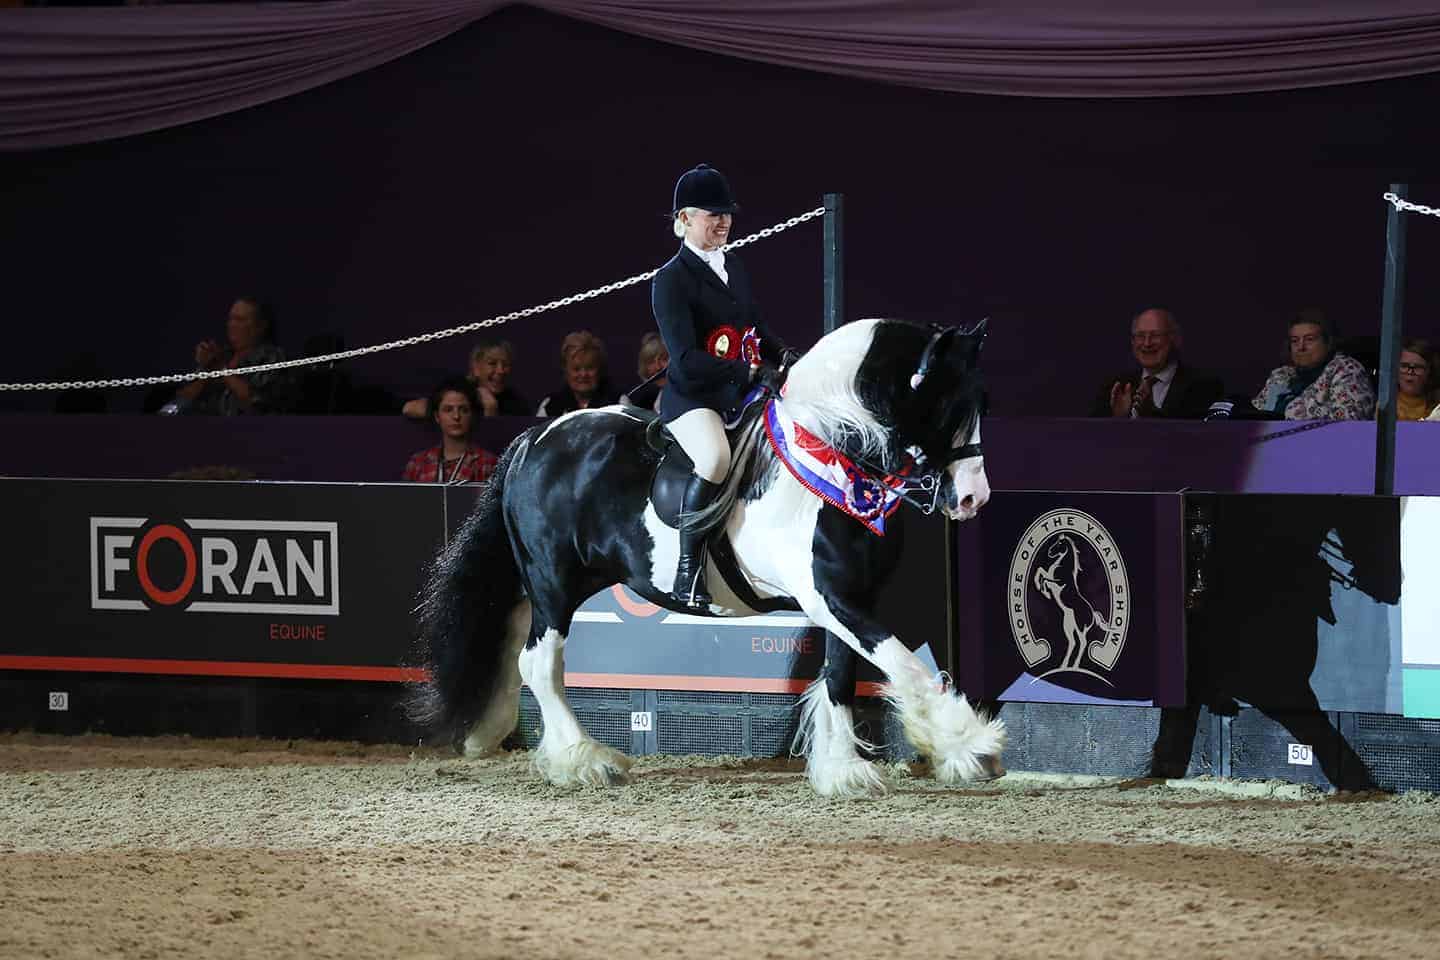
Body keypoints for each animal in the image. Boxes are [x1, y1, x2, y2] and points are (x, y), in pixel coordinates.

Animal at [410, 317, 1005, 798]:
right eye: (949, 406)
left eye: (983, 404)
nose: (974, 499)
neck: (829, 455)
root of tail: (535, 437)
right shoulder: (828, 598)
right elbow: (908, 668)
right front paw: (971, 744)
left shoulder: (848, 597)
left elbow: (841, 677)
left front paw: (843, 771)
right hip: (554, 581)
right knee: (540, 662)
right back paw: (585, 760)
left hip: (557, 581)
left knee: (516, 644)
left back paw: (515, 739)